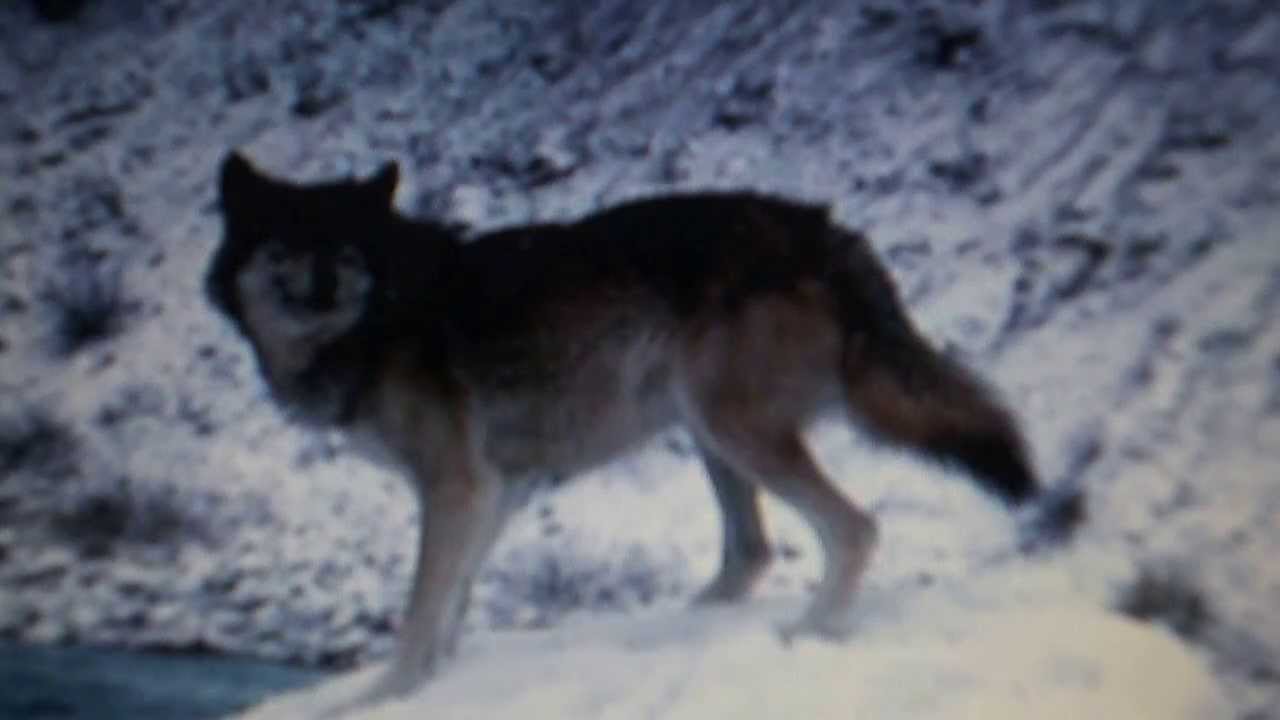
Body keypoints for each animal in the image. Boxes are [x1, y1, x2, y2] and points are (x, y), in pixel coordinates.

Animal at [206, 151, 1082, 716]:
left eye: (344, 251)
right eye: (287, 246)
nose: (320, 290)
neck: (384, 313)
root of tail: (827, 231)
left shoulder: (457, 486)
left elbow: (419, 613)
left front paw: (381, 699)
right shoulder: (495, 490)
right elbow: (451, 609)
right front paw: (432, 689)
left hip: (732, 427)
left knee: (853, 529)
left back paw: (803, 635)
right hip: (705, 431)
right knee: (751, 553)